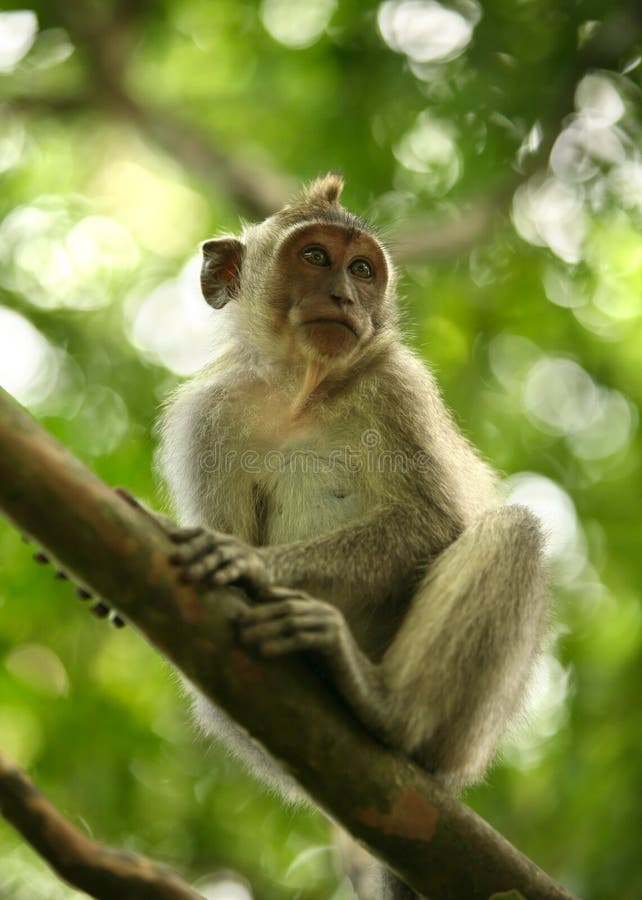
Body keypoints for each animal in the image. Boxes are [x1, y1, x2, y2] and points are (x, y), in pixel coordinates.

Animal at [152, 174, 549, 898]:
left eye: (362, 270)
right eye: (314, 258)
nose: (343, 296)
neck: (300, 391)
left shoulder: (397, 386)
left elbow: (430, 522)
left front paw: (251, 566)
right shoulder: (208, 420)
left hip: (460, 742)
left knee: (513, 534)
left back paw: (385, 707)